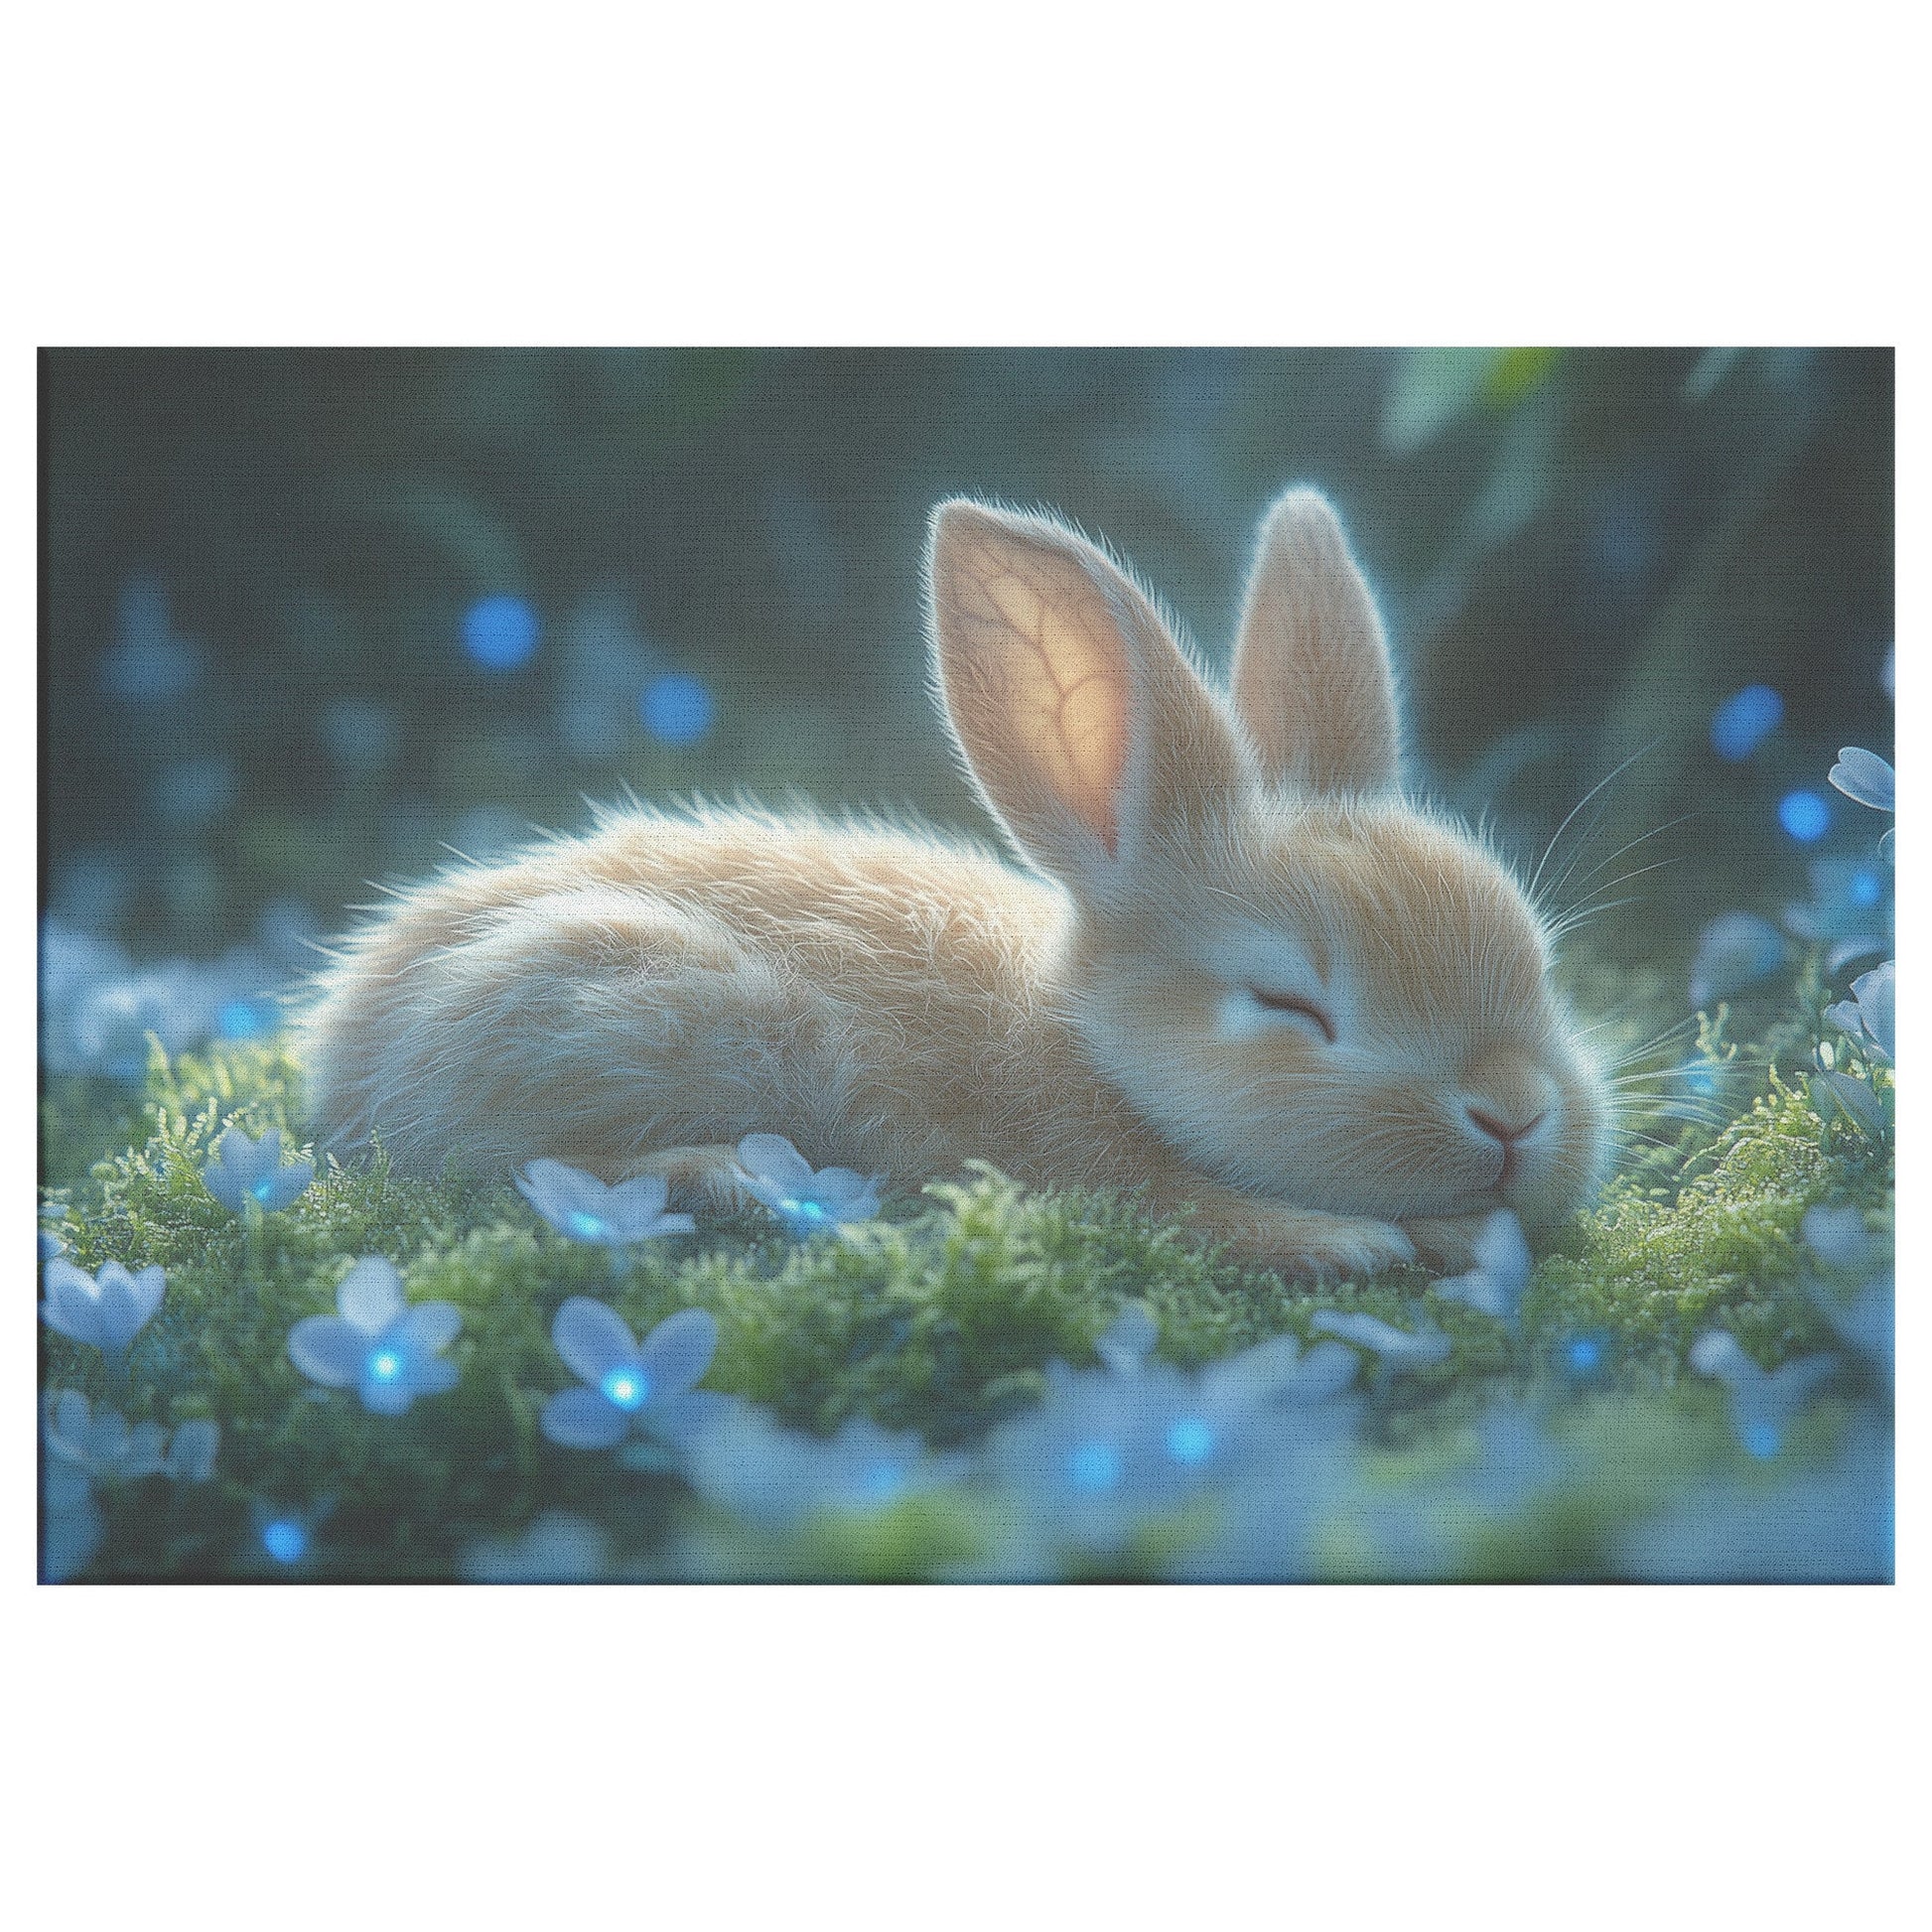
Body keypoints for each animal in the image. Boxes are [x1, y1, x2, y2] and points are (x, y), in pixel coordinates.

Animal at [297, 488, 1608, 1277]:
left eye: (1540, 963)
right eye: (1287, 1004)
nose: (1514, 1112)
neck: (1086, 1040)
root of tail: (345, 1054)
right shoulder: (1091, 1169)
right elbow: (1203, 1209)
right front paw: (1353, 1242)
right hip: (604, 1002)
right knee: (493, 1167)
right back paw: (723, 1176)